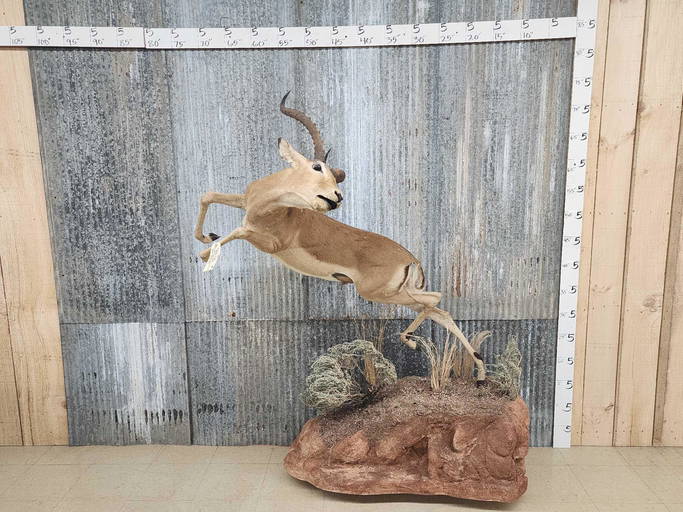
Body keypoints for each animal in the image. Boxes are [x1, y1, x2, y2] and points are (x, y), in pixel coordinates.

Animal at [194, 92, 486, 384]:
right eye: (316, 167)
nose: (337, 197)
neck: (273, 206)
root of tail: (411, 259)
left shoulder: (271, 244)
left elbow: (236, 231)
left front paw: (206, 252)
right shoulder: (246, 204)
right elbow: (208, 195)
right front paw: (206, 237)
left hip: (381, 293)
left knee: (435, 299)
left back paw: (411, 340)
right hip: (401, 295)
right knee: (442, 312)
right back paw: (480, 372)